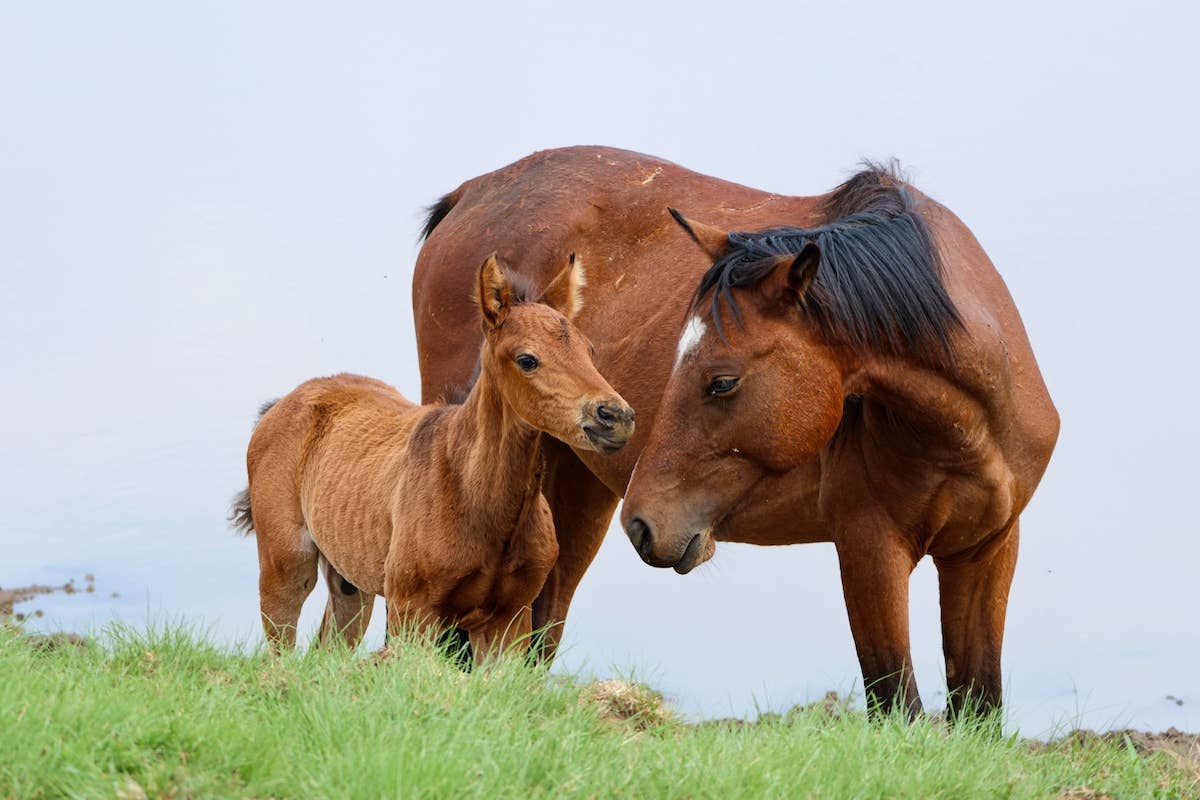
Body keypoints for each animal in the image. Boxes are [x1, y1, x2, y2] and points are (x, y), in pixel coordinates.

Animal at [232, 252, 634, 663]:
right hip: (287, 564)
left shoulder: (509, 620)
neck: (473, 495)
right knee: (282, 645)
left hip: (349, 583)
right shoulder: (413, 610)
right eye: (527, 360)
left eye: (589, 351)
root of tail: (280, 406)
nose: (615, 417)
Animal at [412, 146, 1058, 716]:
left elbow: (980, 706)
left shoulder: (987, 550)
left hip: (577, 486)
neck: (965, 429)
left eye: (722, 382)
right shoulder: (870, 548)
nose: (645, 524)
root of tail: (472, 193)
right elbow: (896, 703)